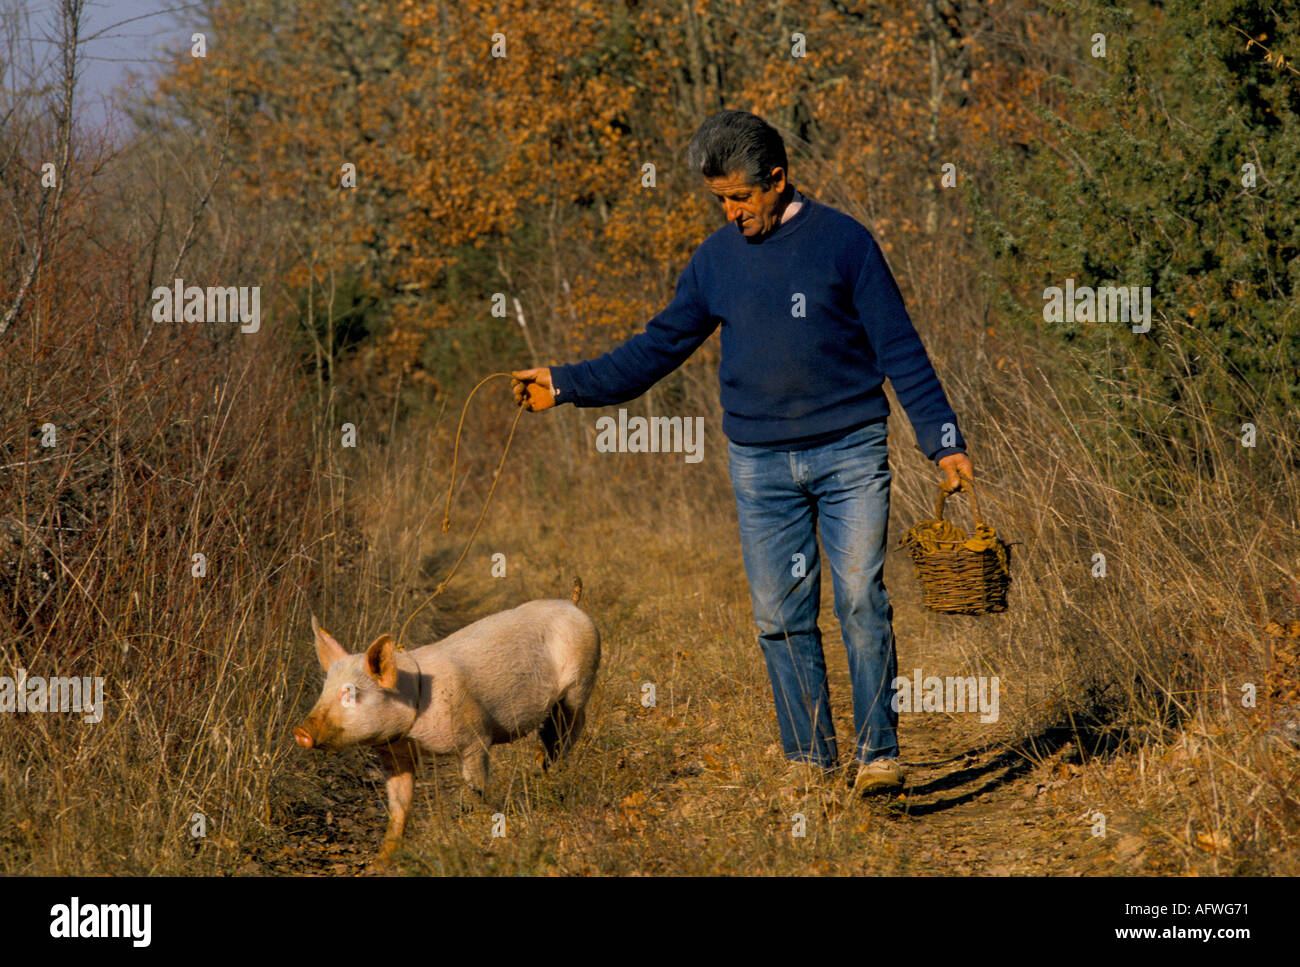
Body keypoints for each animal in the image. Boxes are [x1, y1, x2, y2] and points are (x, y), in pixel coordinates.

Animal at [294, 581, 599, 863]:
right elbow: (399, 805)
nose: (300, 730)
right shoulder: (396, 755)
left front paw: (485, 823)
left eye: (351, 693)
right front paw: (383, 859)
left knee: (572, 727)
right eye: (324, 690)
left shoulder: (475, 737)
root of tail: (571, 603)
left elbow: (477, 786)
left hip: (580, 684)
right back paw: (540, 764)